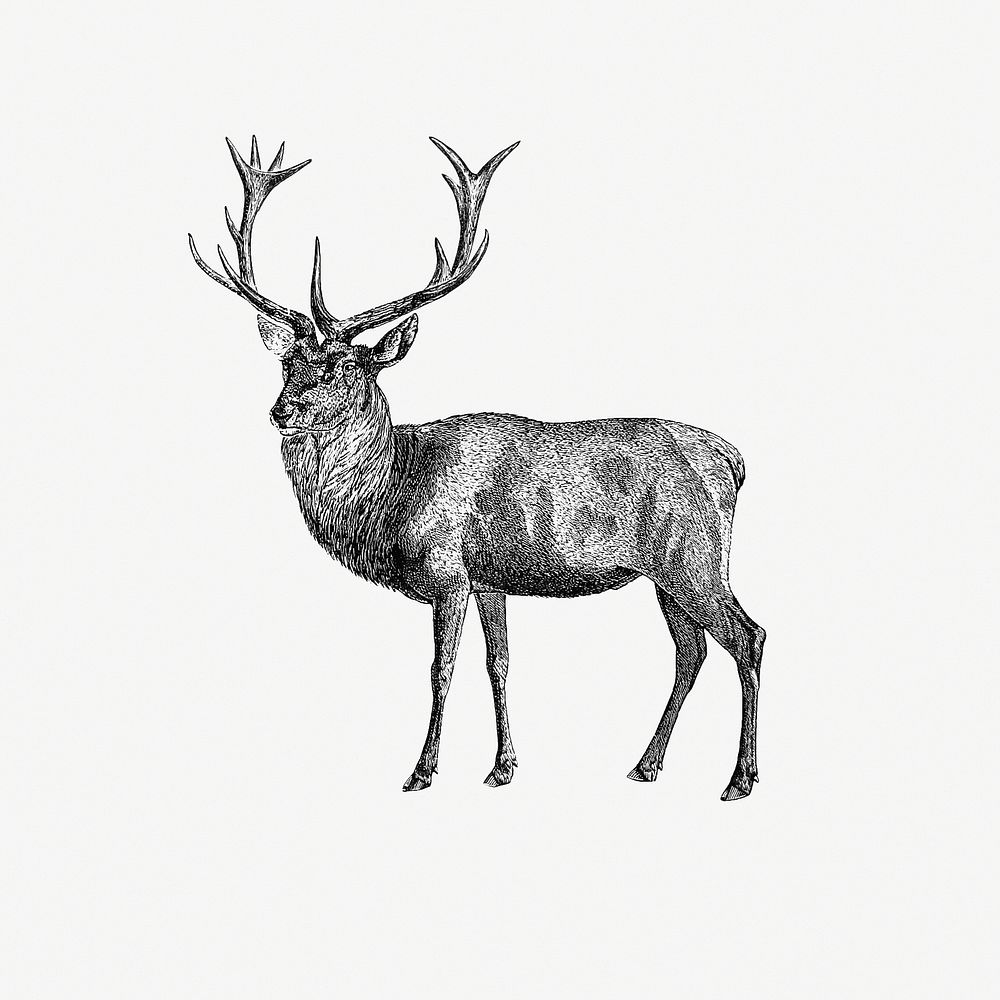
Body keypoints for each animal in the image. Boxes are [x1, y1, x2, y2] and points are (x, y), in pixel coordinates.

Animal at [188, 135, 766, 800]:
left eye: (347, 367)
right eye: (289, 365)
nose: (283, 411)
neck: (392, 493)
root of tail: (736, 462)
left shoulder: (449, 572)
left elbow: (442, 668)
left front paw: (422, 769)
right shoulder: (490, 578)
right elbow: (500, 663)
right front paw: (503, 765)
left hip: (696, 560)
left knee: (748, 638)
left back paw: (740, 778)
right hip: (669, 575)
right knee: (691, 652)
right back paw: (646, 765)